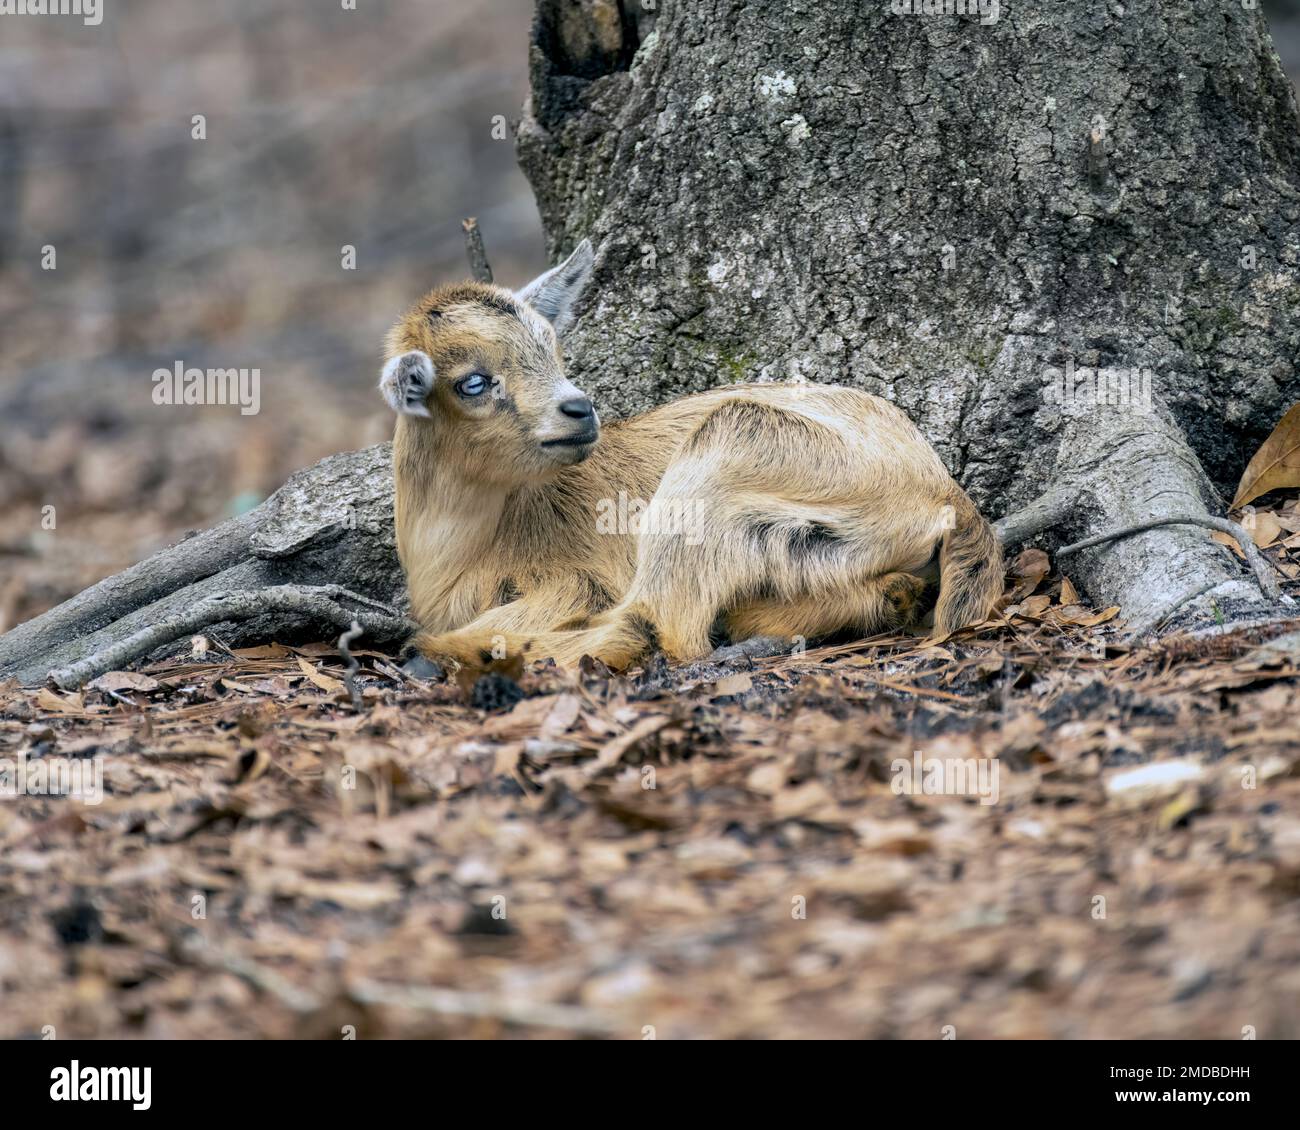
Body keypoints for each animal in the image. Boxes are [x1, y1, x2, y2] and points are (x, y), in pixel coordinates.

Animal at [380, 240, 1002, 671]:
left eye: (554, 351)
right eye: (473, 382)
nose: (579, 409)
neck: (461, 557)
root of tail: (944, 496)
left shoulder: (571, 578)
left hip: (723, 460)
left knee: (657, 627)